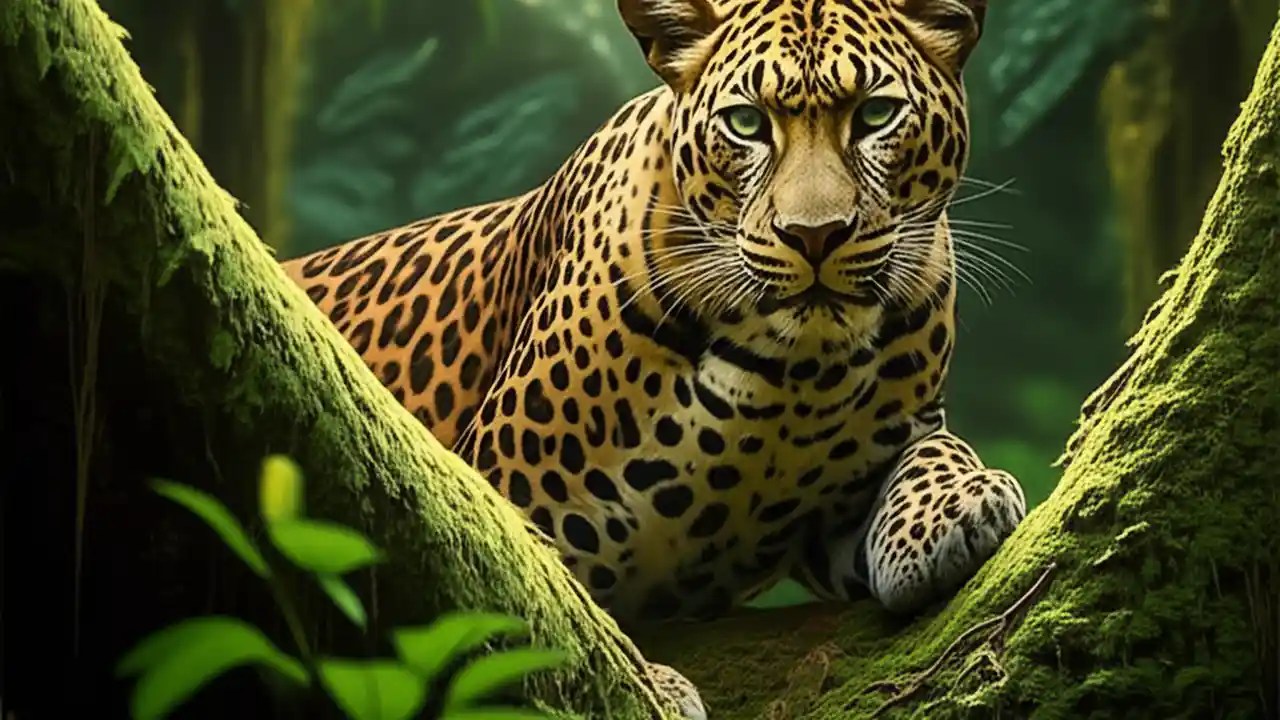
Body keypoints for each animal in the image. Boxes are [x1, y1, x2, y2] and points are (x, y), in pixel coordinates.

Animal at [282, 1, 1027, 717]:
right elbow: (549, 604)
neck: (793, 370)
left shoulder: (836, 503)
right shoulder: (489, 497)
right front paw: (648, 682)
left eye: (875, 114)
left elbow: (935, 446)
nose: (813, 235)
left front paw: (961, 503)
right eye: (746, 124)